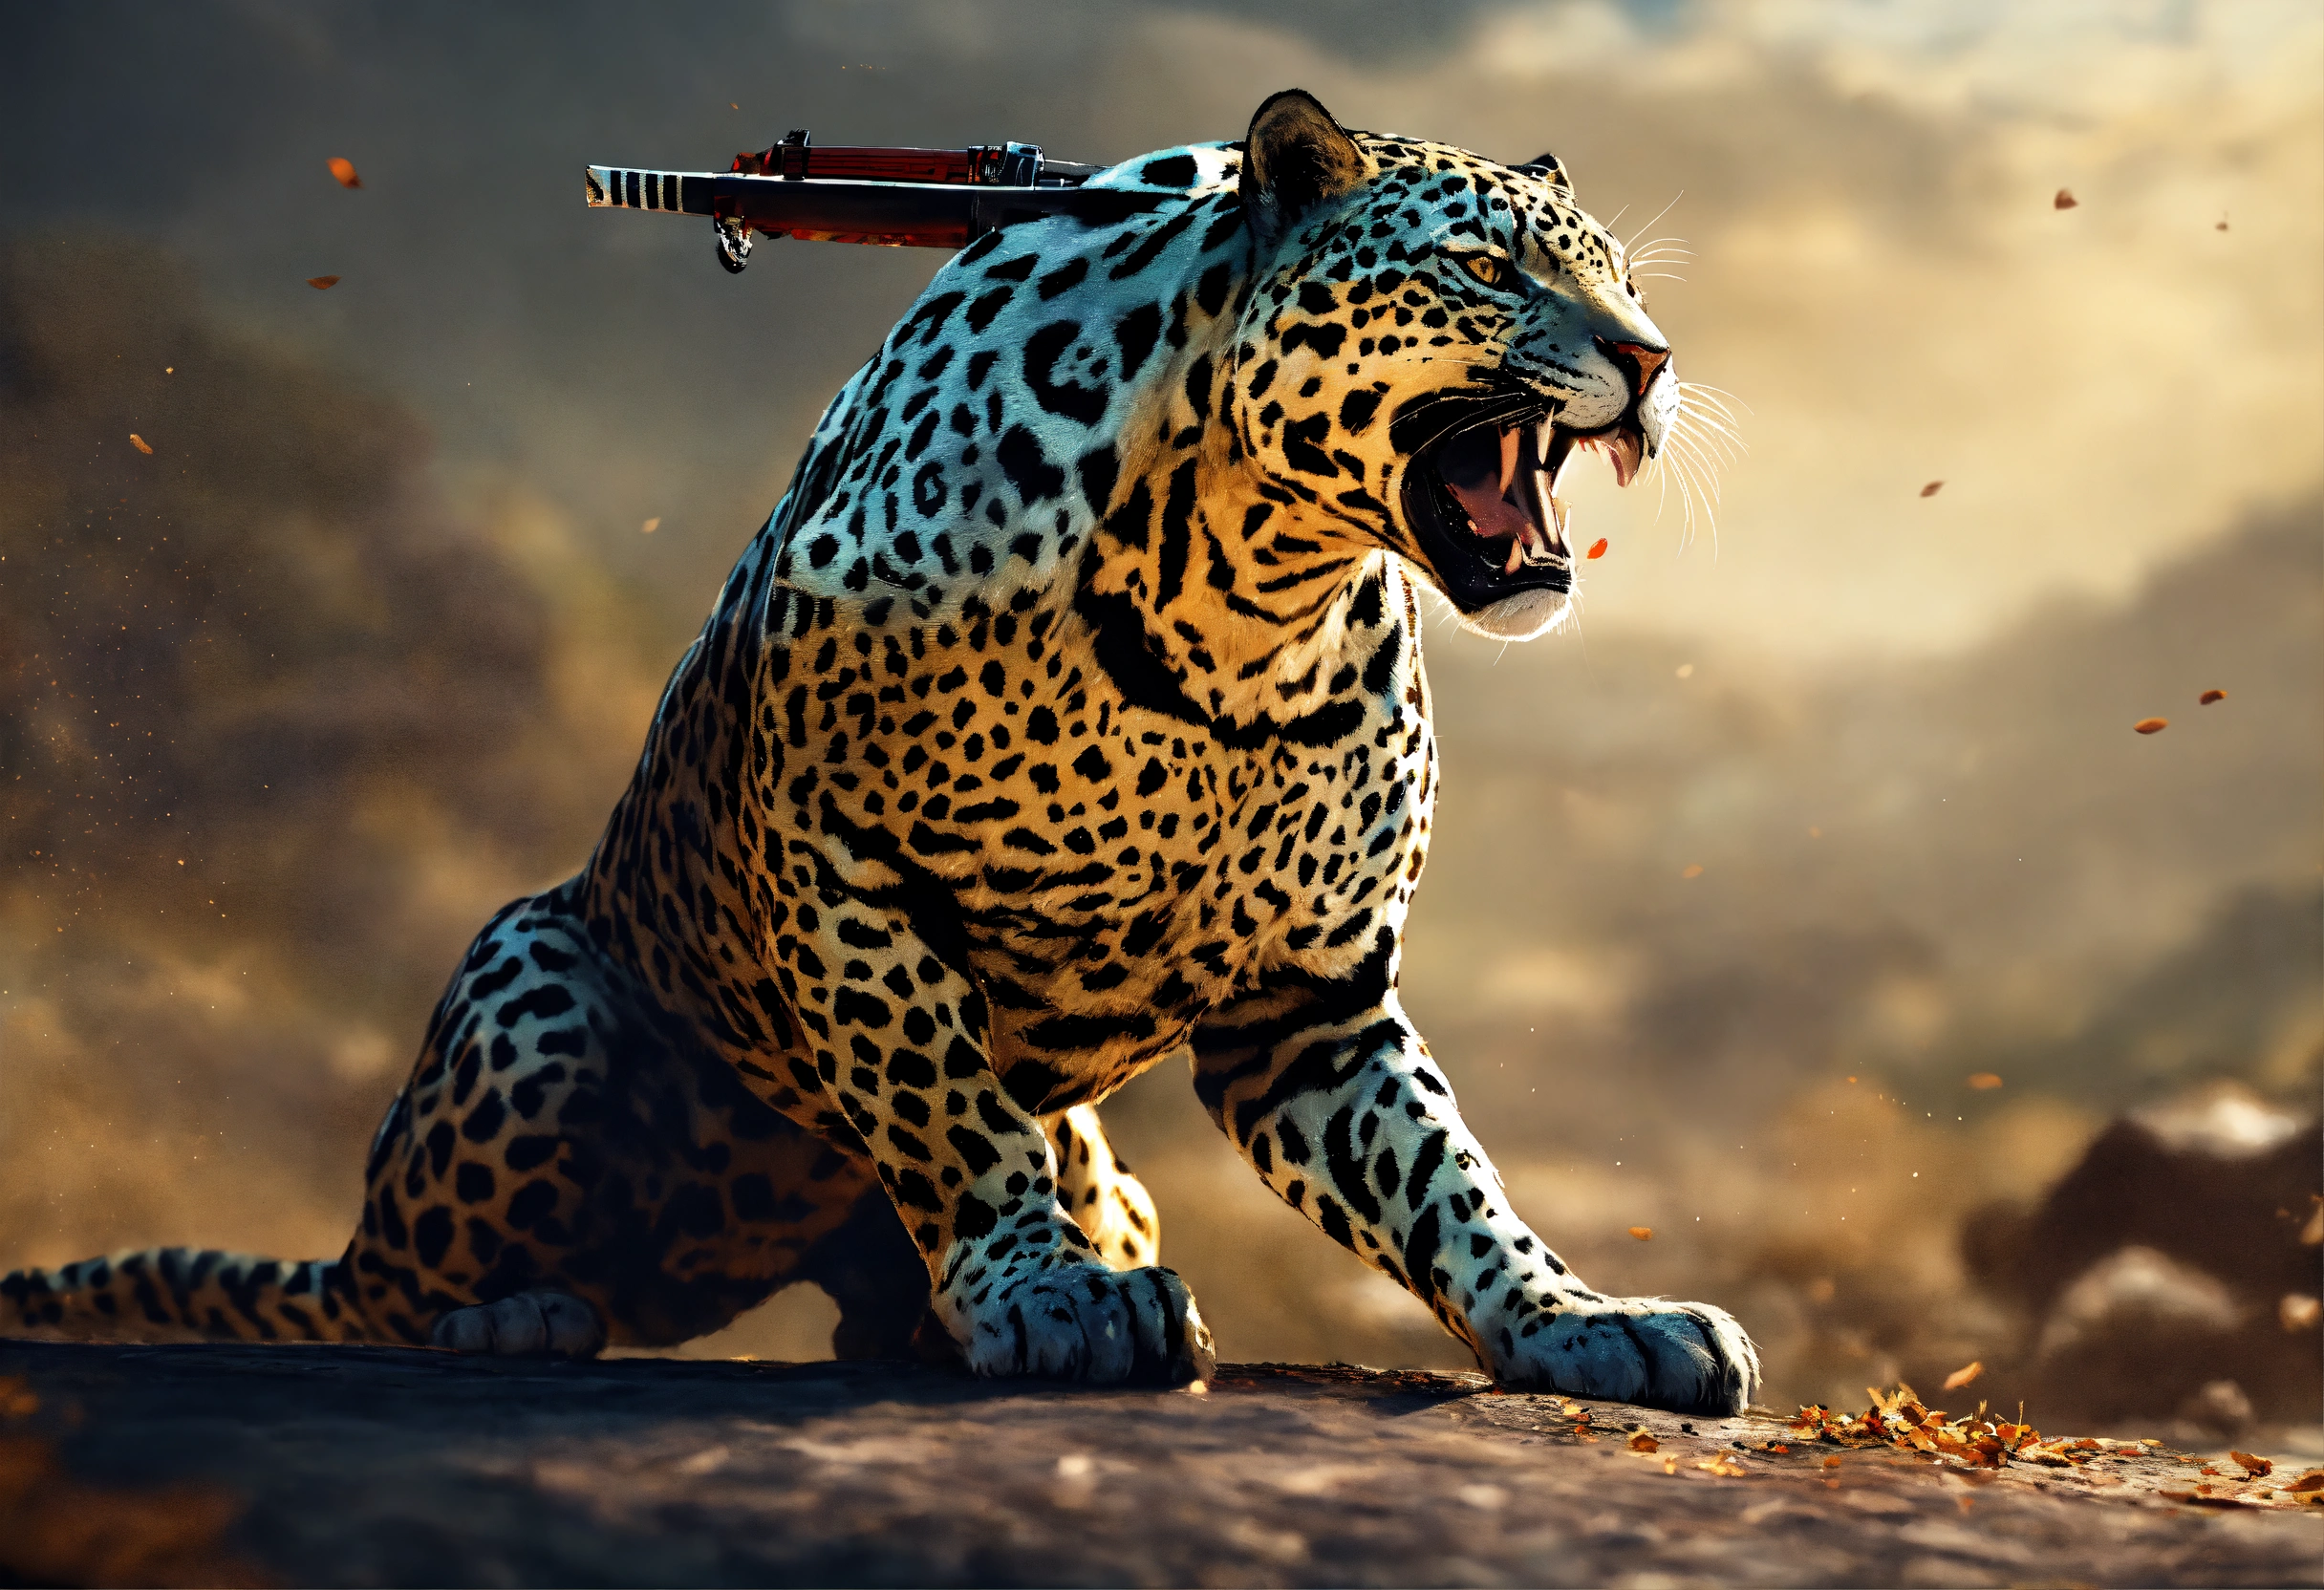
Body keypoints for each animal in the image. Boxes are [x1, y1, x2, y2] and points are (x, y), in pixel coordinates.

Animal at [4, 90, 1759, 1413]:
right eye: (1484, 263)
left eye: (1618, 276)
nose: (1655, 359)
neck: (1238, 601)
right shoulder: (837, 857)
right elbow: (944, 1101)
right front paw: (1048, 1295)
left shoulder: (1309, 1002)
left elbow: (1445, 1178)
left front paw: (1584, 1318)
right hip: (527, 988)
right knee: (388, 1282)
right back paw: (515, 1314)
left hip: (1096, 1148)